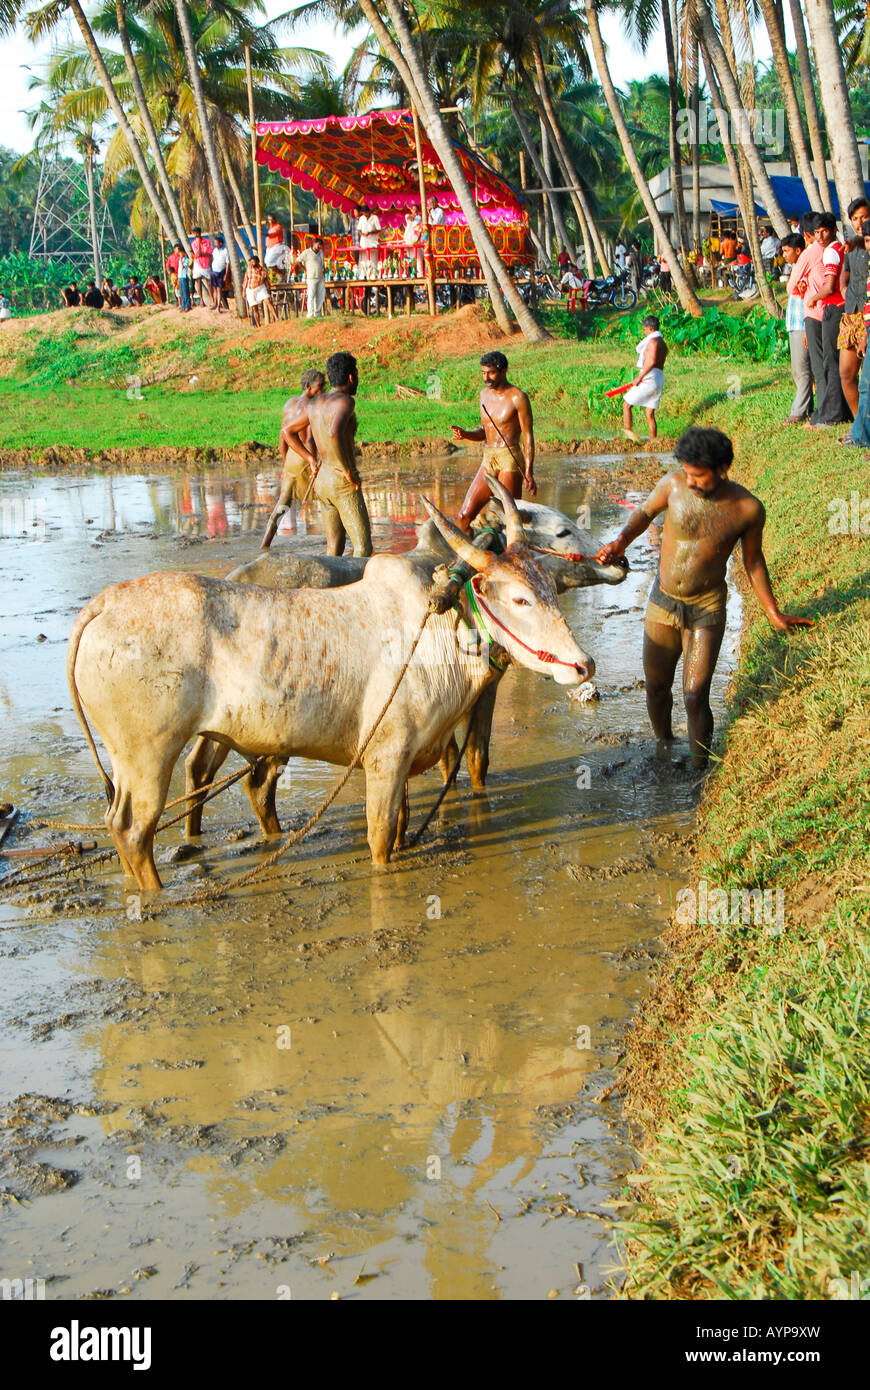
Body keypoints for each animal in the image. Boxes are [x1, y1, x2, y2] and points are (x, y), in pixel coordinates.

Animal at [67, 482, 593, 891]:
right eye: (520, 598)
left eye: (548, 586)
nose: (583, 665)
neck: (438, 626)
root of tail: (103, 604)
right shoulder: (385, 757)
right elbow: (381, 840)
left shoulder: (406, 761)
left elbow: (402, 824)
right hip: (147, 755)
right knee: (133, 829)